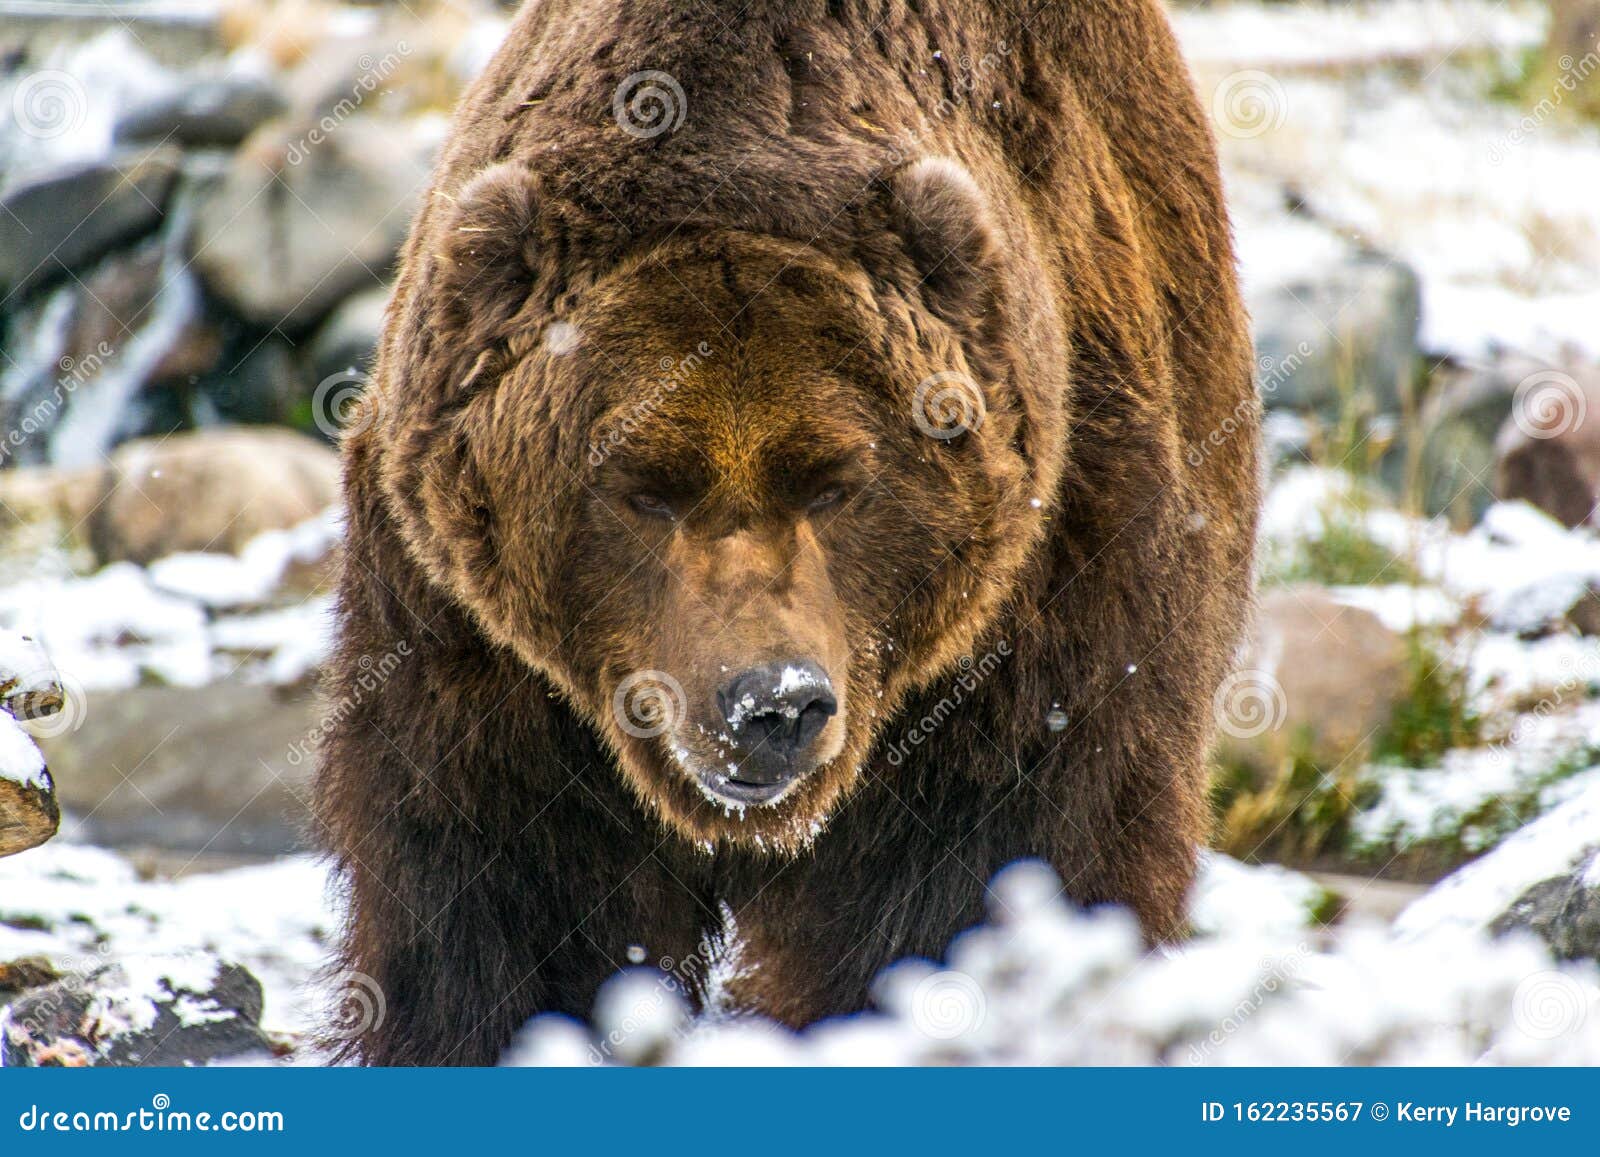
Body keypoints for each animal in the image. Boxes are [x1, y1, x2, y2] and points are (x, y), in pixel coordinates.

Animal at [314, 0, 1258, 1065]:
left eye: (836, 481)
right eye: (644, 484)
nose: (774, 701)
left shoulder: (1042, 601)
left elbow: (988, 872)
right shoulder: (475, 652)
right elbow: (496, 907)